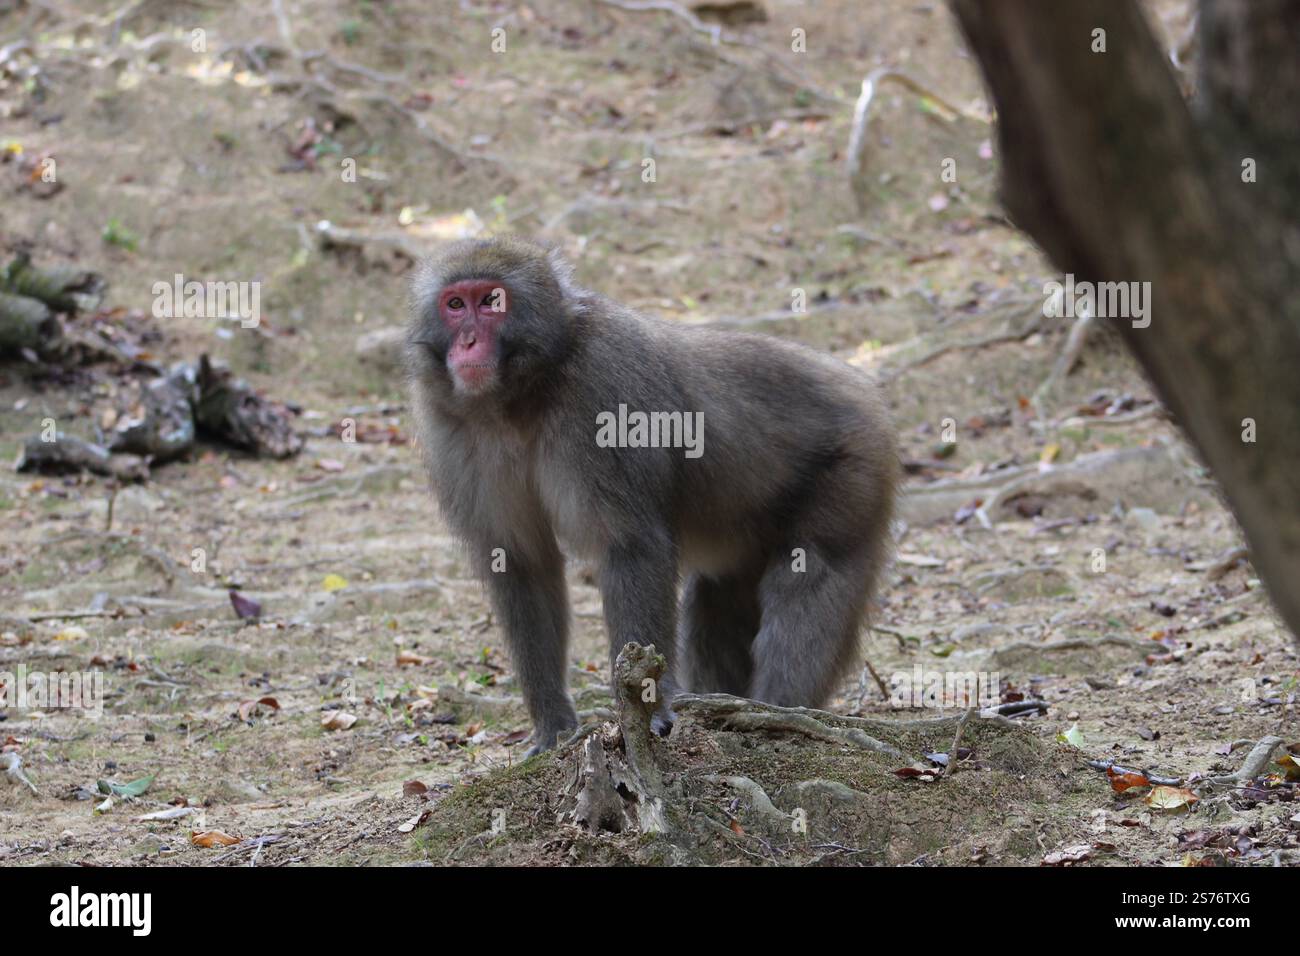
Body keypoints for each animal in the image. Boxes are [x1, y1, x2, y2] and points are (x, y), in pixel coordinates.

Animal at [406, 236, 897, 754]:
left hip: (856, 465)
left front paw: (649, 709)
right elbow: (519, 561)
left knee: (811, 574)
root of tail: (862, 386)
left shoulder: (604, 388)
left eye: (491, 302)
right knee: (717, 599)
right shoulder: (452, 428)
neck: (524, 395)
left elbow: (632, 545)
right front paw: (553, 725)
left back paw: (779, 713)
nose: (468, 343)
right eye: (455, 305)